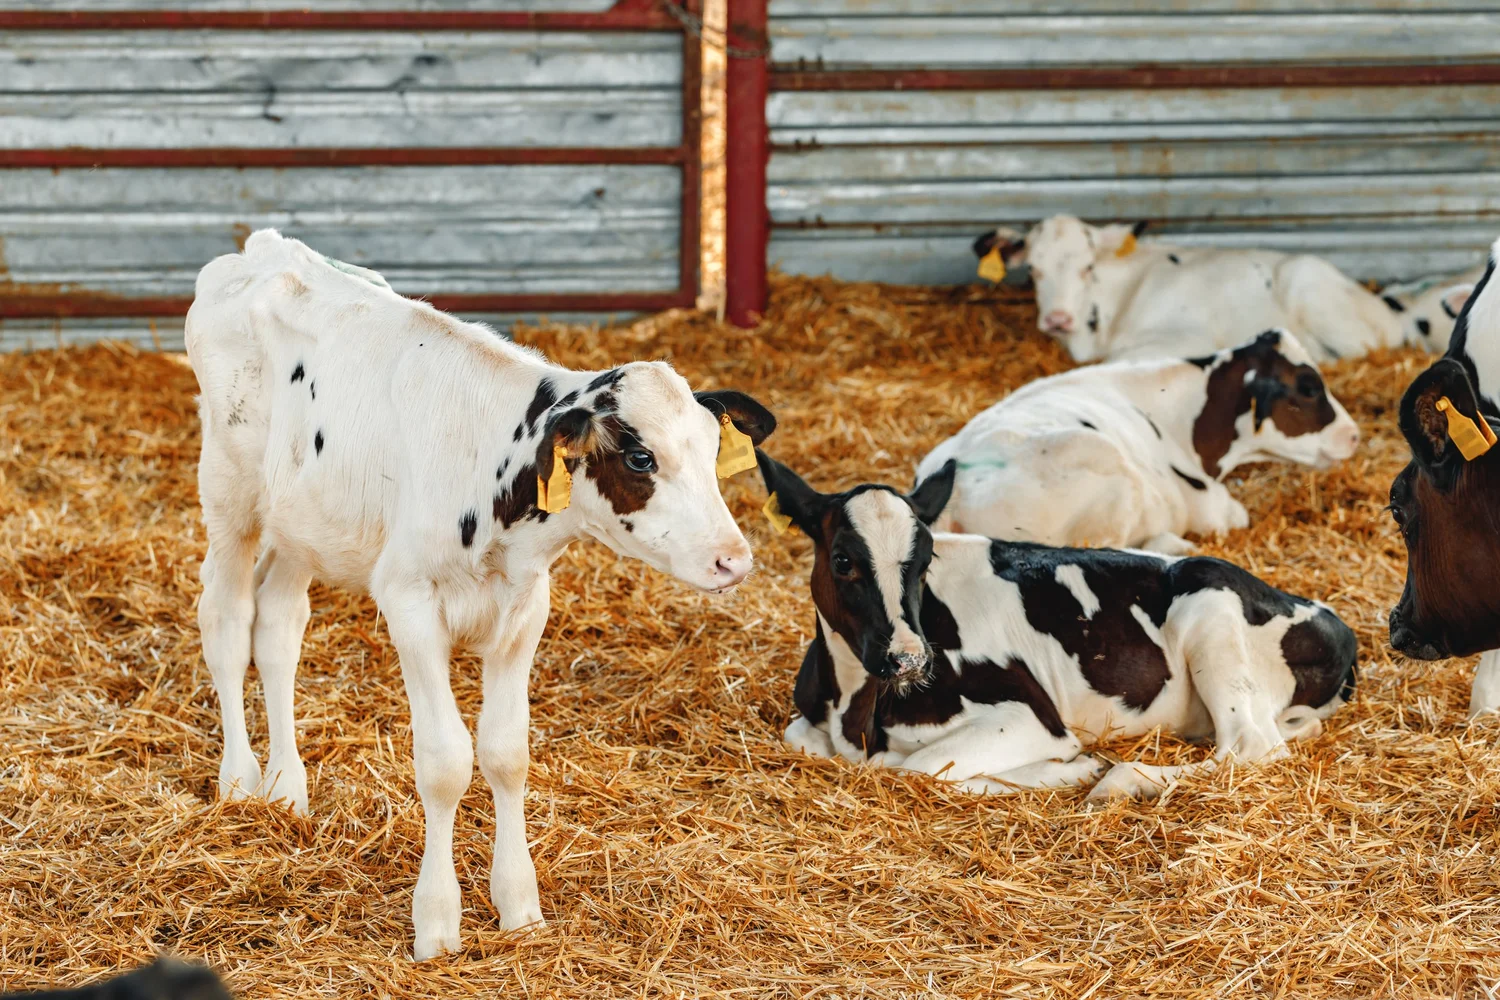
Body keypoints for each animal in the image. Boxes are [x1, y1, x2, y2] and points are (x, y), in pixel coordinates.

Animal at [185, 230, 776, 959]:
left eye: (714, 451)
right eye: (641, 459)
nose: (733, 558)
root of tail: (265, 248)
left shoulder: (525, 610)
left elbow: (505, 753)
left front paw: (519, 904)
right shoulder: (410, 604)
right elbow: (445, 762)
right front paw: (437, 922)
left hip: (307, 522)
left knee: (278, 626)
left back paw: (287, 786)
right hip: (229, 494)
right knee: (226, 619)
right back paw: (239, 779)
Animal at [758, 454, 1358, 800]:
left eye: (926, 559)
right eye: (842, 560)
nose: (910, 658)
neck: (855, 711)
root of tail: (1331, 620)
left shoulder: (1027, 716)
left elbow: (919, 768)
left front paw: (1065, 770)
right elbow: (800, 737)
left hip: (1211, 611)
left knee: (1250, 747)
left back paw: (1120, 780)